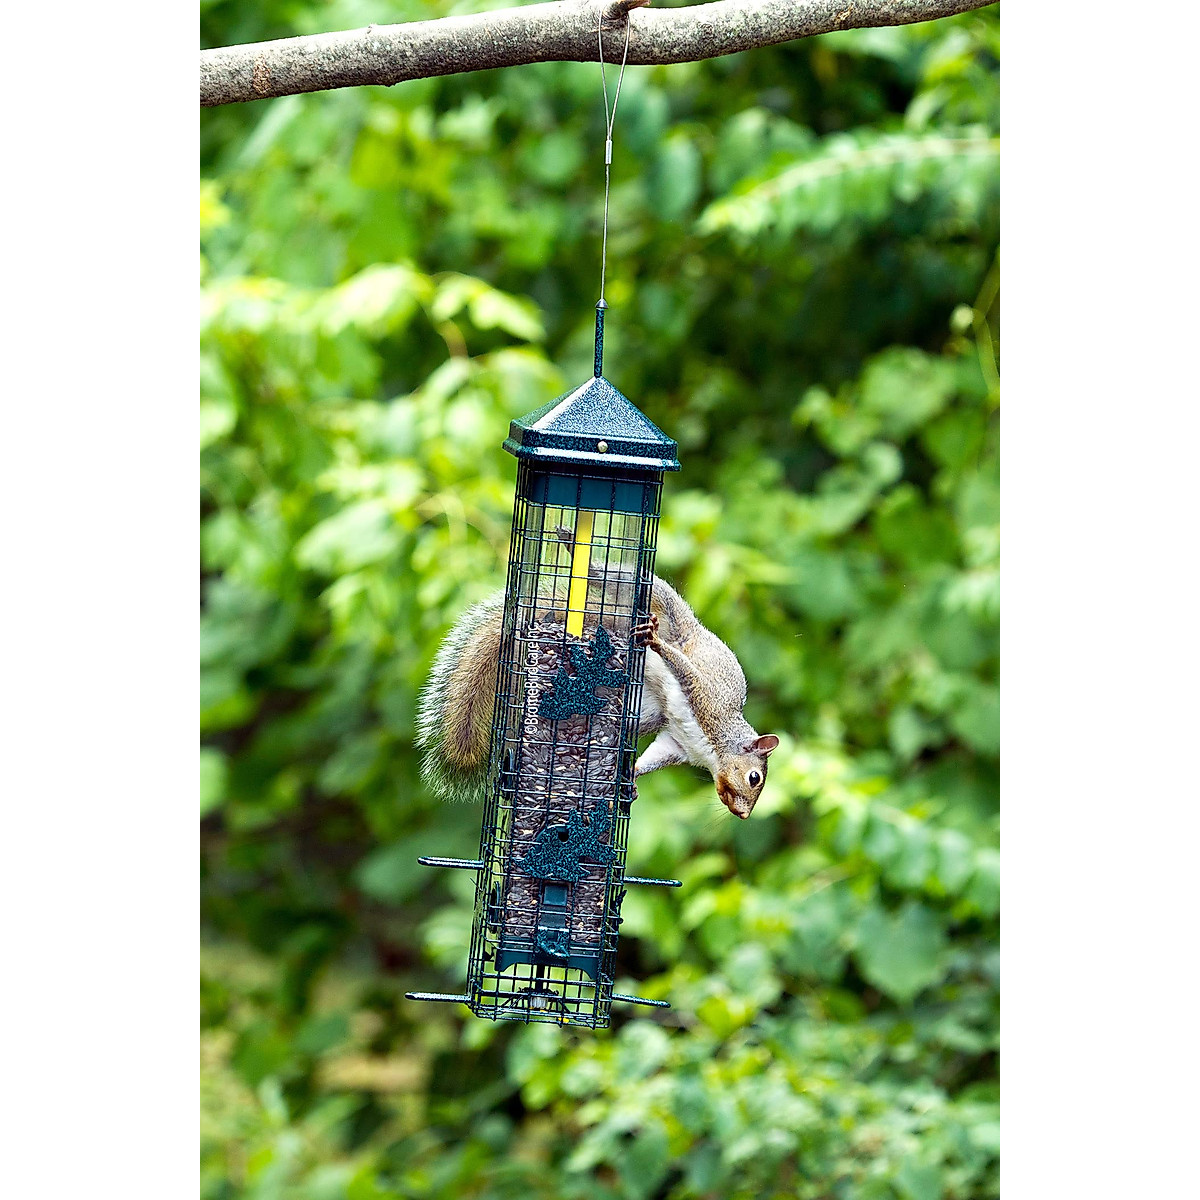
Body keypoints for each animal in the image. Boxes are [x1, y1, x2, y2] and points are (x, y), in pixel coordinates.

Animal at [416, 530, 779, 819]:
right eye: (755, 778)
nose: (742, 814)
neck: (714, 748)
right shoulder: (706, 700)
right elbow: (684, 669)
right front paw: (656, 643)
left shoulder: (676, 742)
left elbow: (655, 754)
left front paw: (631, 778)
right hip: (659, 601)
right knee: (614, 579)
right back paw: (577, 551)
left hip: (647, 711)